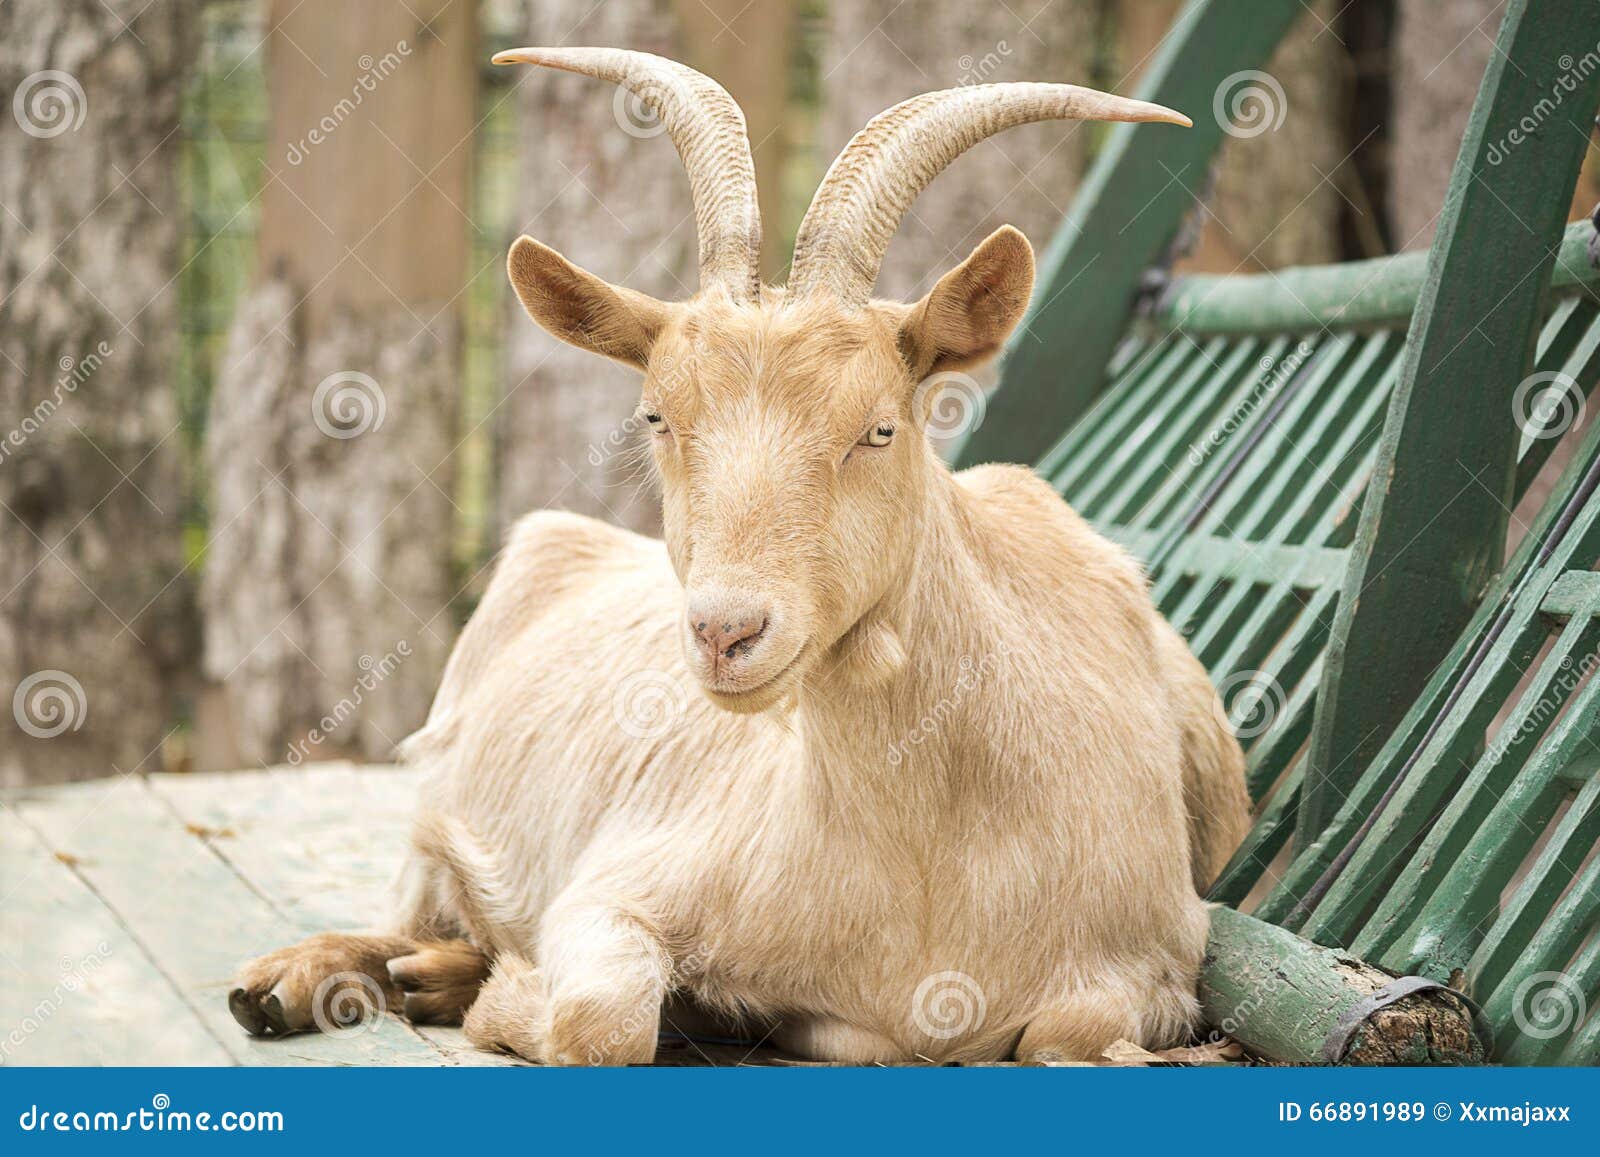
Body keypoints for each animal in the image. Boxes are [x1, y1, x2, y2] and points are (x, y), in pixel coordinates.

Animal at [228, 48, 1252, 1065]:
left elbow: (1071, 1036)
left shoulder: (1155, 961)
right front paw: (504, 993)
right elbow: (601, 1019)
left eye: (879, 427)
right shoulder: (623, 878)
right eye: (656, 416)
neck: (931, 860)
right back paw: (297, 979)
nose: (726, 632)